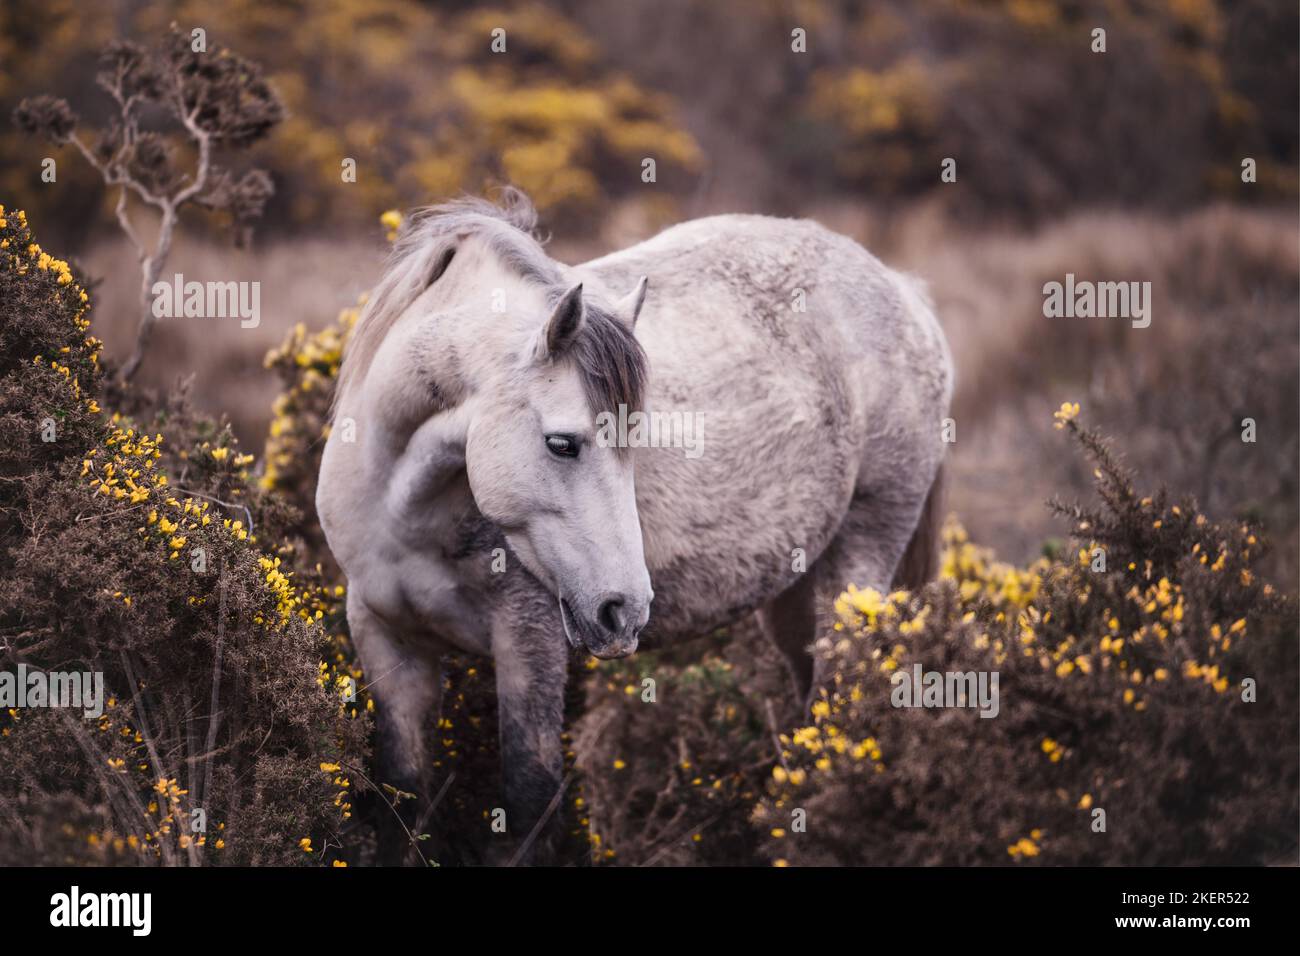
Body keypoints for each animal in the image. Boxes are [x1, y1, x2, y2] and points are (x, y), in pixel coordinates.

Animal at [317, 188, 953, 864]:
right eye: (562, 443)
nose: (625, 611)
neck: (404, 511)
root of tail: (904, 293)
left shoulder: (529, 642)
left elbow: (530, 799)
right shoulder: (387, 641)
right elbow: (403, 800)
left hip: (857, 566)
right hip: (793, 600)